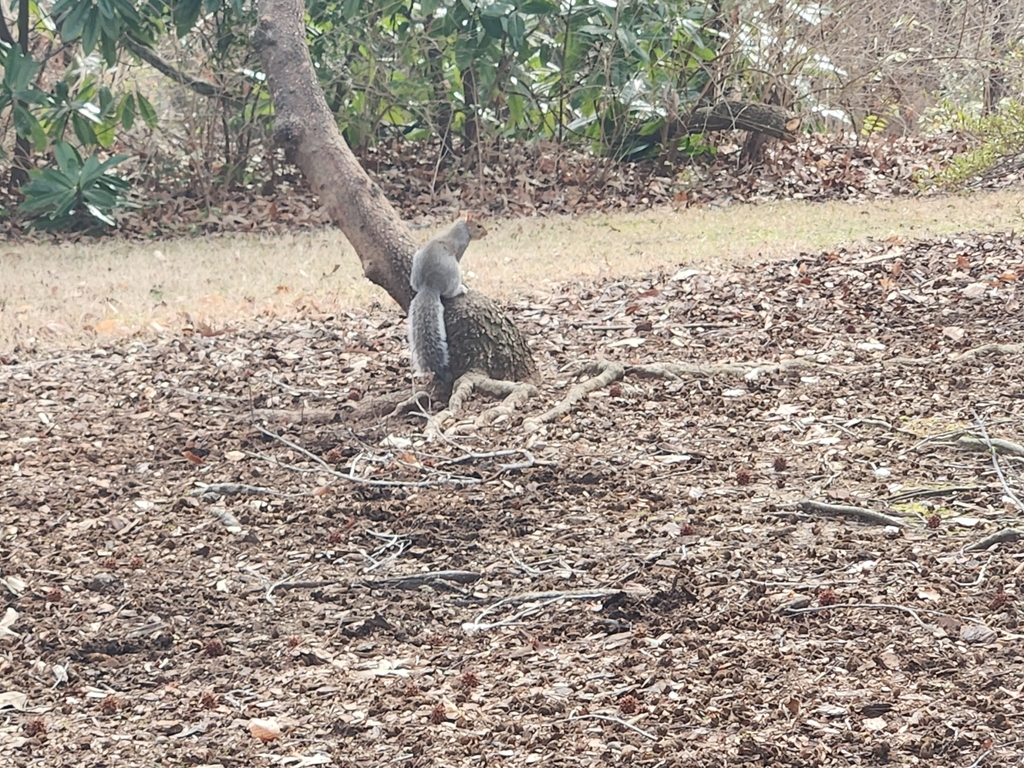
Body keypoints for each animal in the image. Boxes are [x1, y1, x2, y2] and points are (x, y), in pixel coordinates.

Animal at [407, 217, 487, 381]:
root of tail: (429, 286)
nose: (486, 233)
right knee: (449, 293)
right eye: (478, 226)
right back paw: (460, 289)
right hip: (453, 270)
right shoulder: (462, 245)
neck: (461, 225)